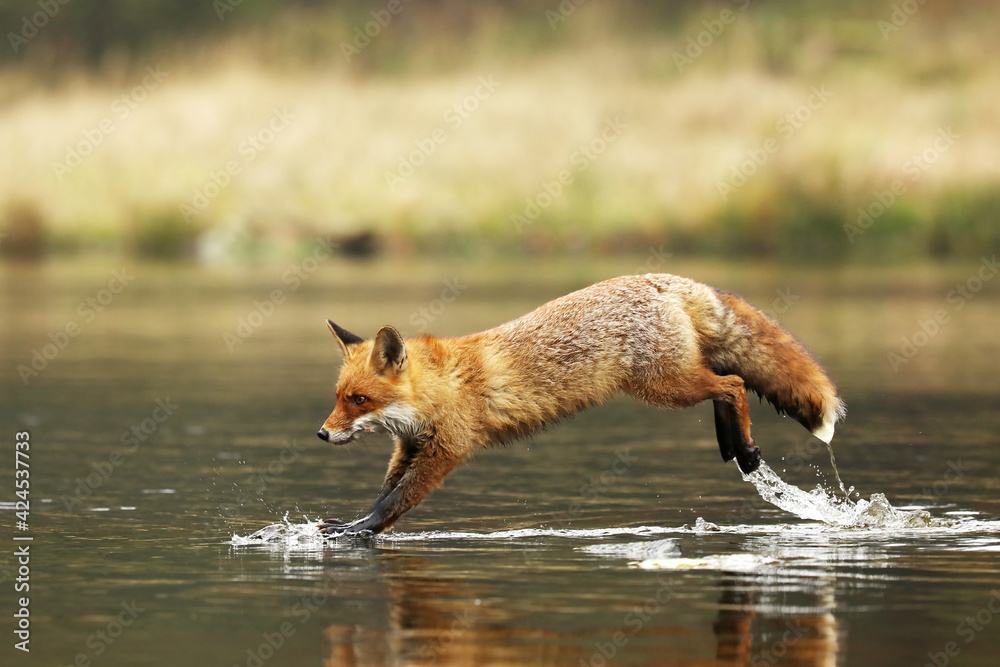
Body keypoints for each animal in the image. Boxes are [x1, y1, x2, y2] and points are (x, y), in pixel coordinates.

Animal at [316, 273, 845, 536]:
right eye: (338, 398)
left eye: (359, 400)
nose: (322, 434)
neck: (441, 386)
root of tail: (668, 278)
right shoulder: (409, 447)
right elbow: (385, 492)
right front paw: (353, 522)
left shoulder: (447, 449)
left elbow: (395, 502)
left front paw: (359, 531)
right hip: (678, 379)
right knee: (727, 382)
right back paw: (733, 445)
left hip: (666, 388)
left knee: (733, 383)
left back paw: (746, 450)